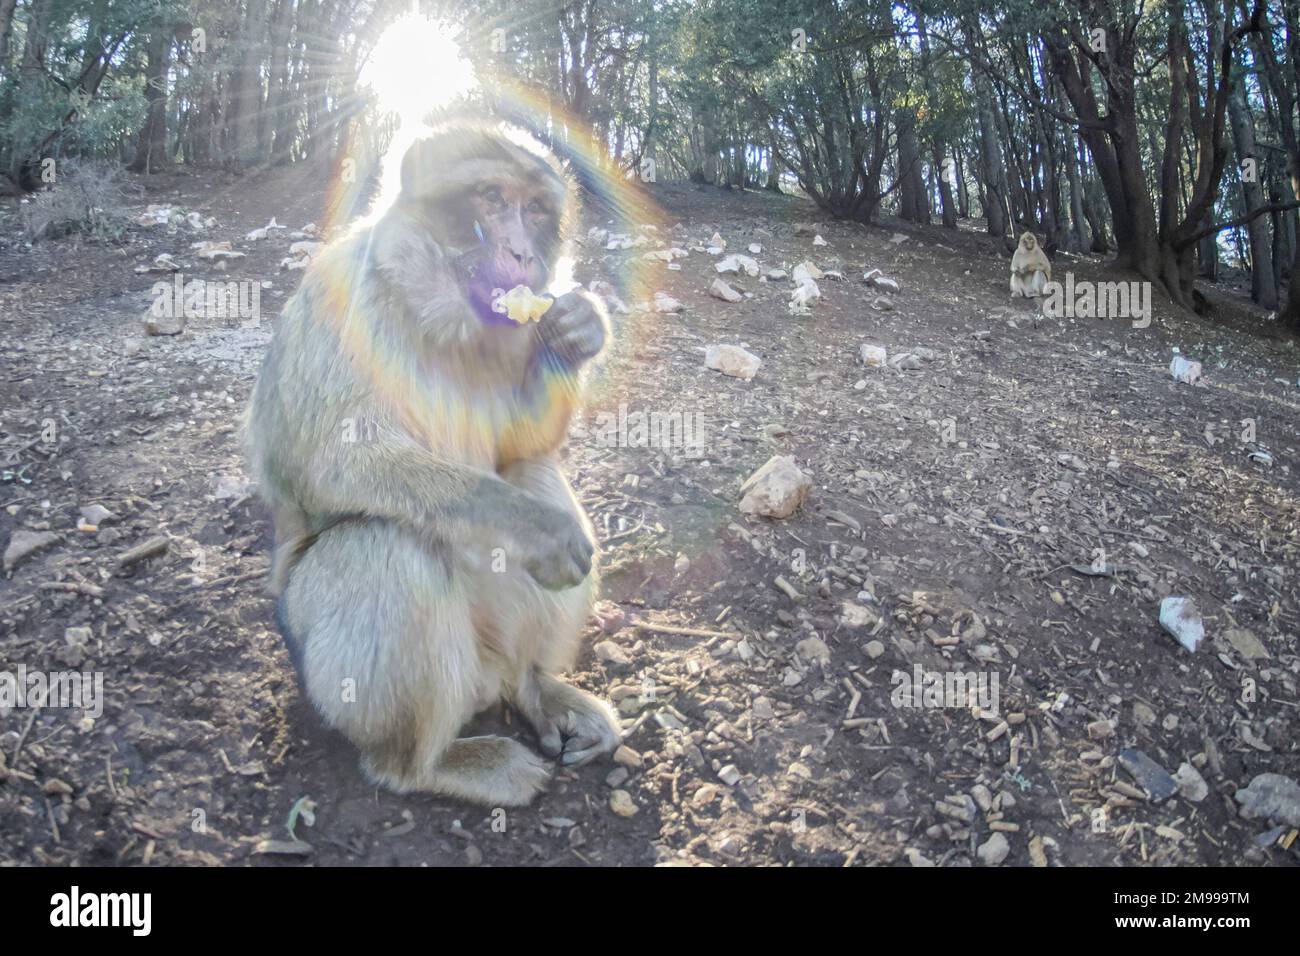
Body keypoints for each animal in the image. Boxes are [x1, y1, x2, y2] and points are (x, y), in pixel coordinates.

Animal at [246, 121, 621, 806]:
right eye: (492, 197)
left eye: (536, 210)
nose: (524, 254)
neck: (435, 314)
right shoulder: (346, 297)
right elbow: (334, 464)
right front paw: (533, 528)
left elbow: (520, 448)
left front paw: (579, 330)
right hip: (321, 659)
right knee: (388, 544)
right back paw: (429, 765)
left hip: (491, 651)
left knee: (533, 473)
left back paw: (534, 687)